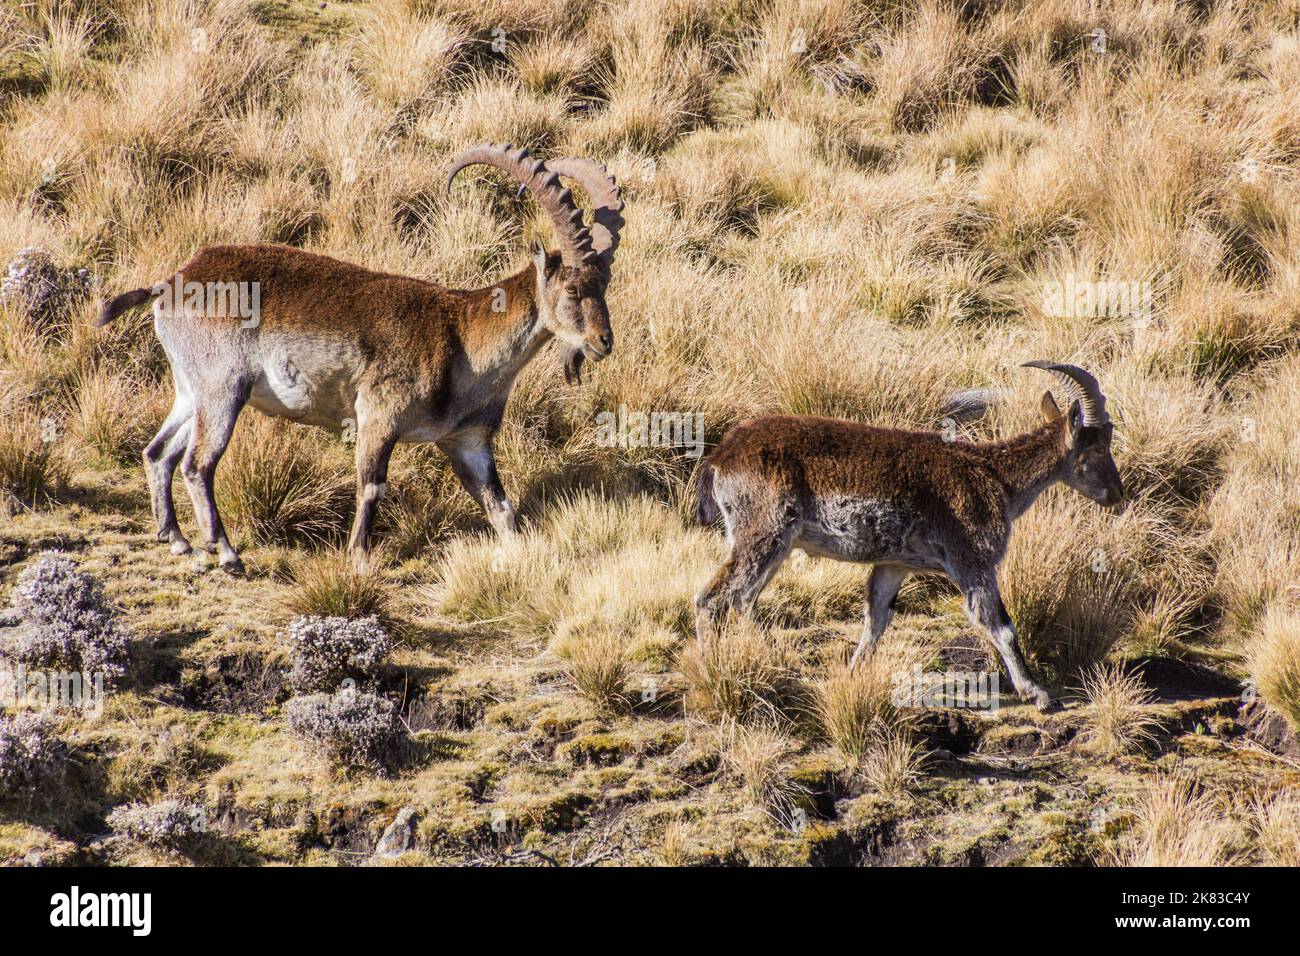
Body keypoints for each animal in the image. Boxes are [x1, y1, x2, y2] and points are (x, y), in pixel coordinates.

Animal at [96, 145, 624, 573]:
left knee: (158, 452)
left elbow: (501, 509)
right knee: (197, 463)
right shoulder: (377, 419)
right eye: (572, 289)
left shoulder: (467, 443)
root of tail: (169, 283)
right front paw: (358, 560)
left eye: (605, 285)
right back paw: (225, 553)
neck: (463, 340)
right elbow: (371, 488)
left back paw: (176, 539)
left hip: (191, 389)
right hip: (224, 386)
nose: (603, 342)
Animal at [693, 363, 1124, 709]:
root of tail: (720, 458)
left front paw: (854, 674)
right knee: (712, 598)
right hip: (762, 534)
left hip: (772, 545)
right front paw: (1037, 694)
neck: (996, 476)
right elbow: (999, 625)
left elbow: (876, 620)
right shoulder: (973, 560)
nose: (1118, 495)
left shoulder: (893, 564)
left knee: (743, 600)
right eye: (1097, 448)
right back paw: (713, 667)